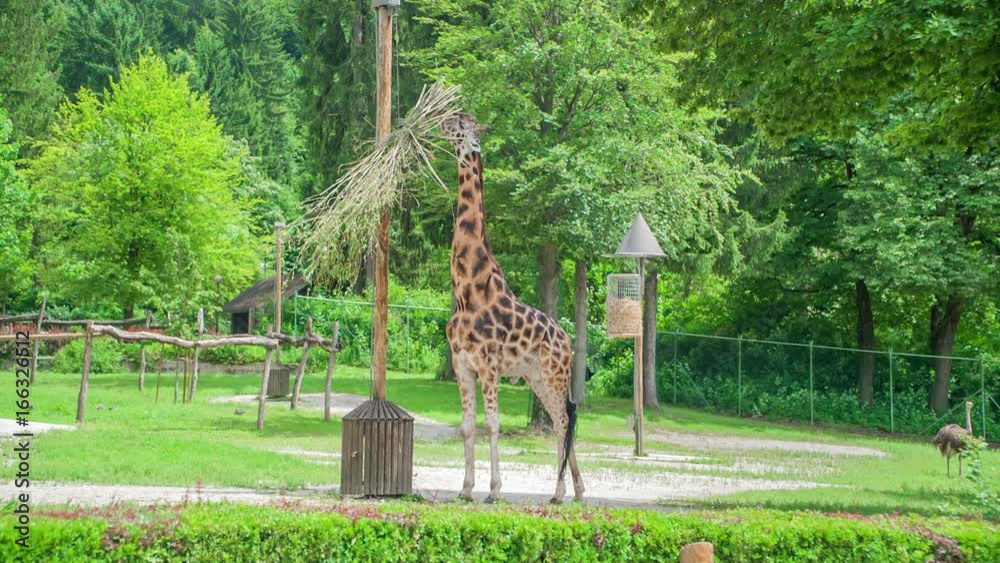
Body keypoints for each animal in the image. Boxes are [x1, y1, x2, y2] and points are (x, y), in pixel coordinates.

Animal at [442, 113, 584, 504]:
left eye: (462, 123)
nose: (442, 124)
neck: (468, 287)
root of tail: (567, 341)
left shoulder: (488, 364)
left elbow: (492, 424)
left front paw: (494, 490)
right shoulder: (462, 365)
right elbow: (466, 426)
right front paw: (465, 489)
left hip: (553, 373)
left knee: (563, 421)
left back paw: (559, 491)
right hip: (536, 377)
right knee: (562, 420)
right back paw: (577, 490)